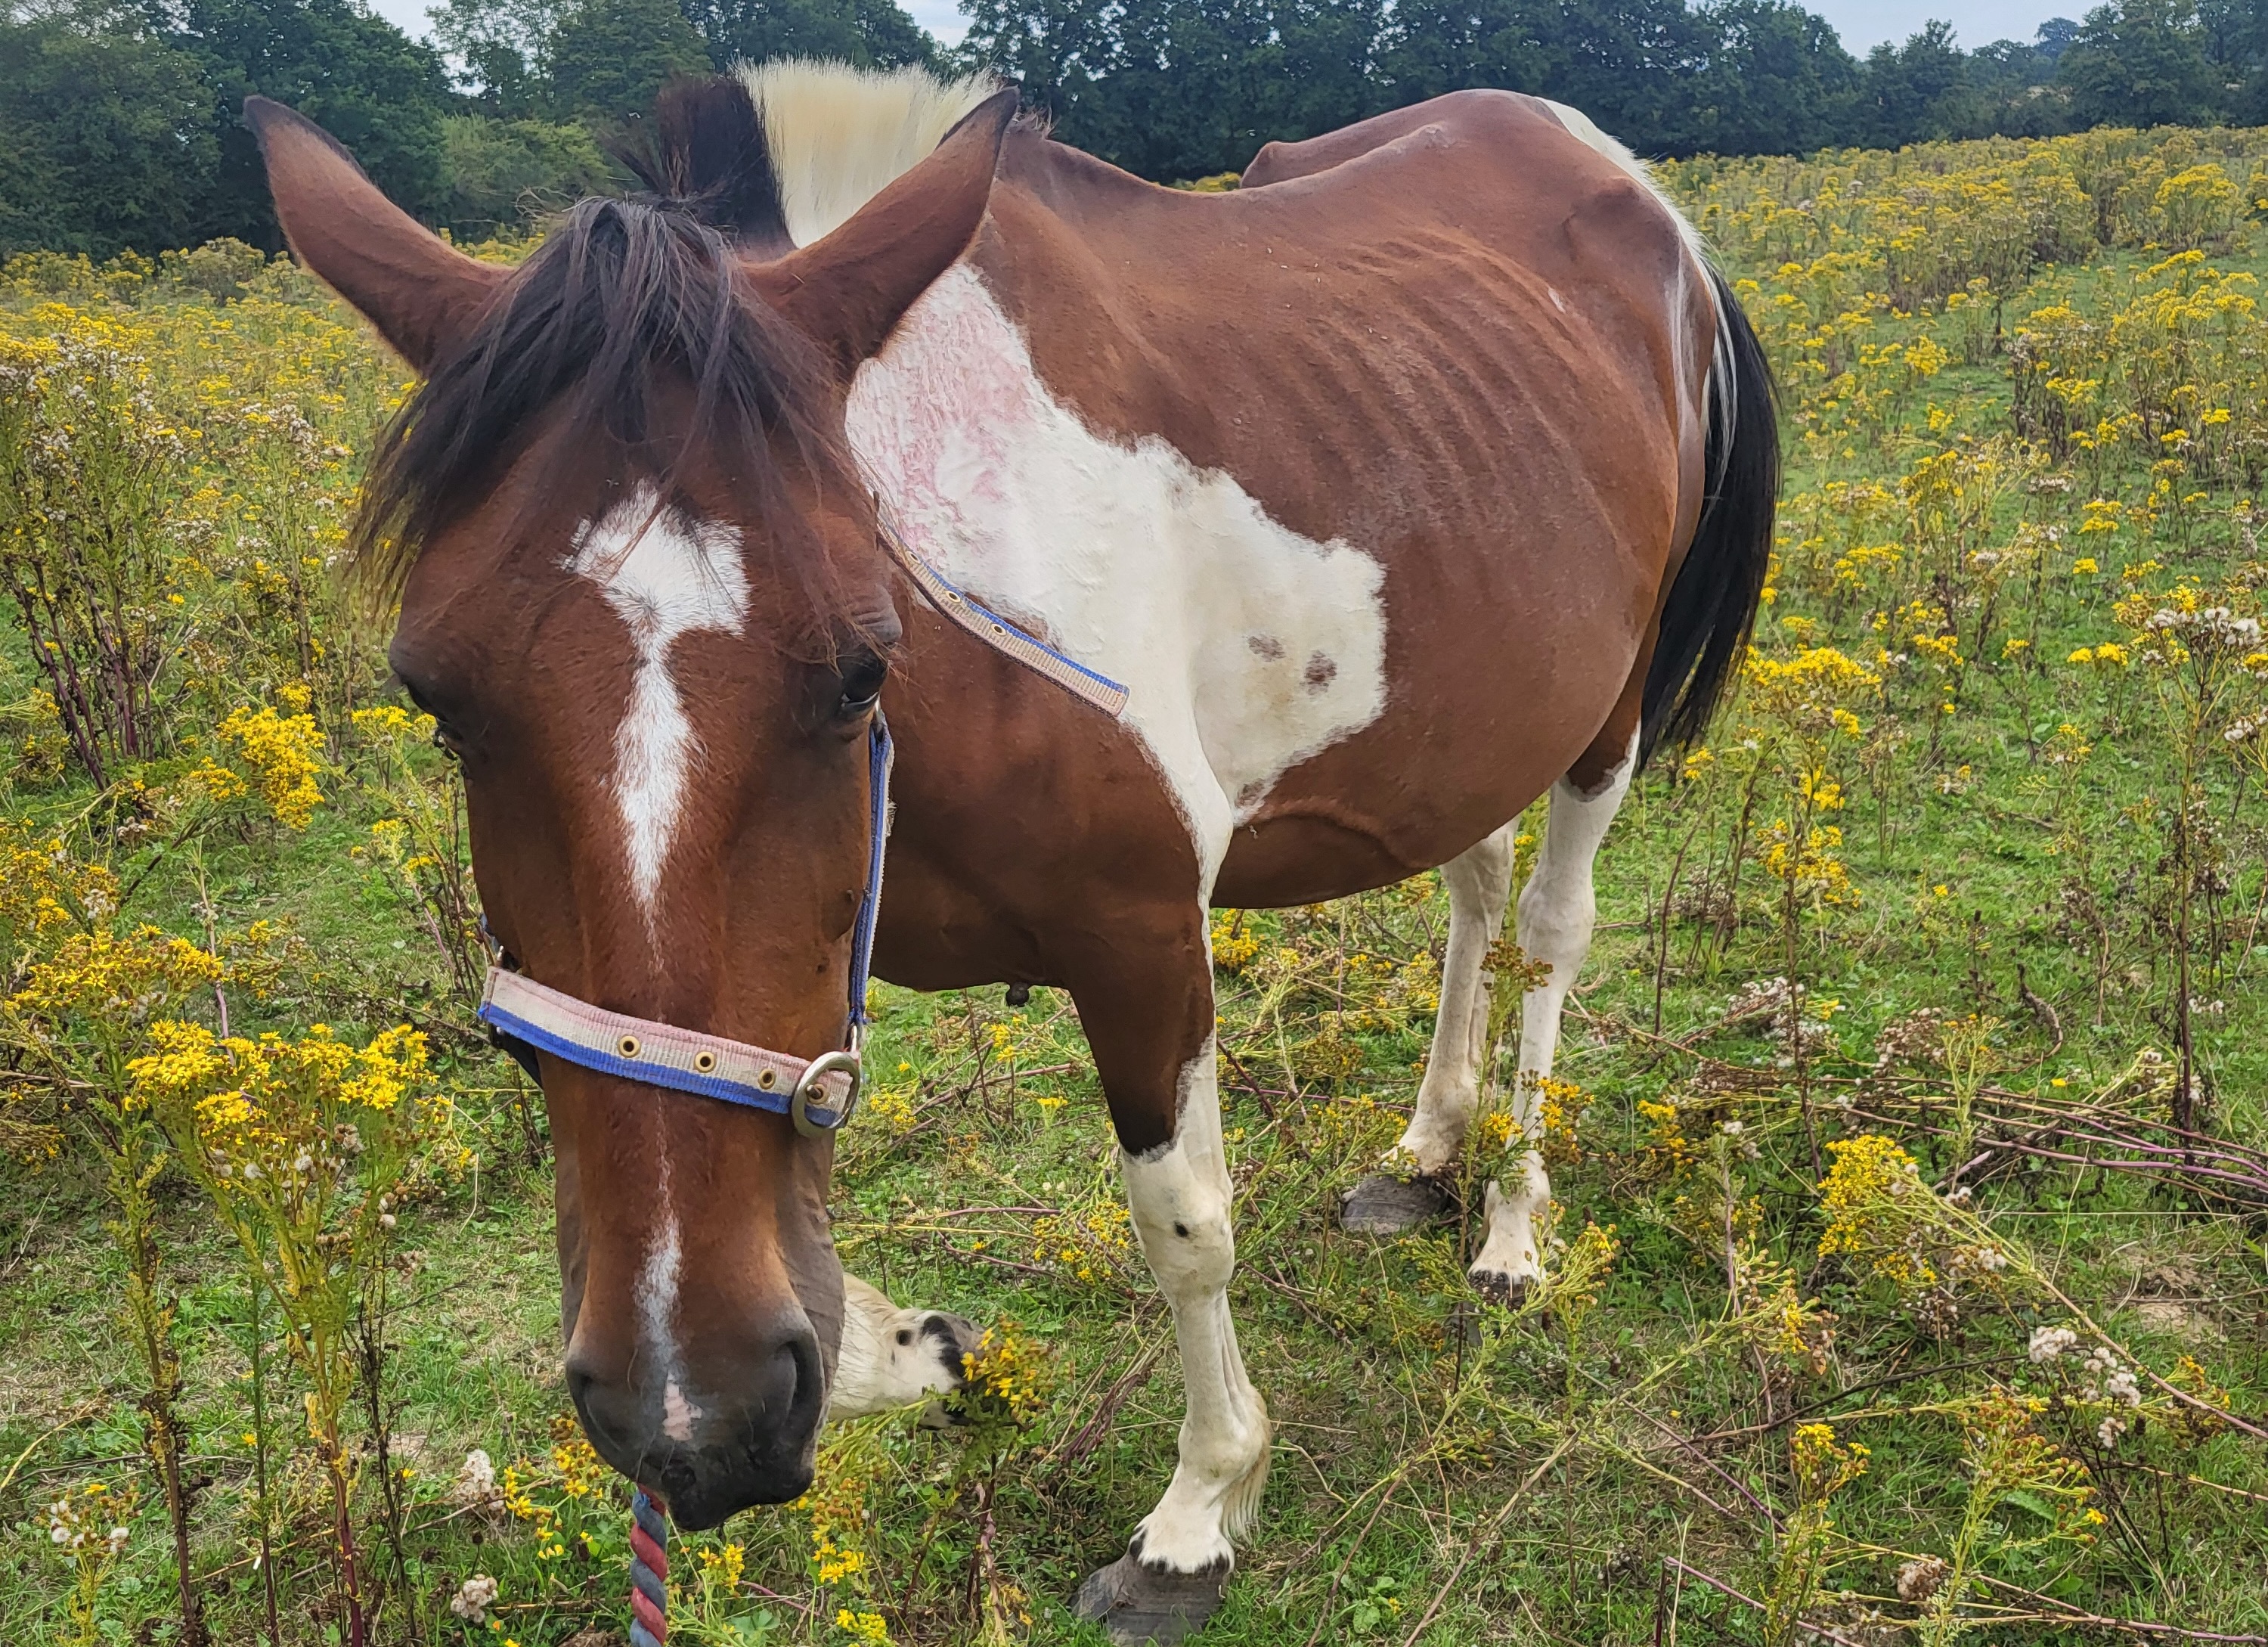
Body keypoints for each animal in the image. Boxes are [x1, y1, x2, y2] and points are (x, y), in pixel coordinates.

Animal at [246, 60, 1774, 1642]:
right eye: (438, 699)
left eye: (862, 669)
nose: (689, 1411)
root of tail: (1641, 204)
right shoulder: (821, 997)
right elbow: (820, 1240)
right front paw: (925, 1346)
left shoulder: (1142, 934)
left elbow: (1186, 1225)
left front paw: (1200, 1509)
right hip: (1464, 721)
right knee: (1474, 886)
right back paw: (1427, 1149)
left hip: (1604, 713)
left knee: (1547, 933)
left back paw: (1515, 1222)